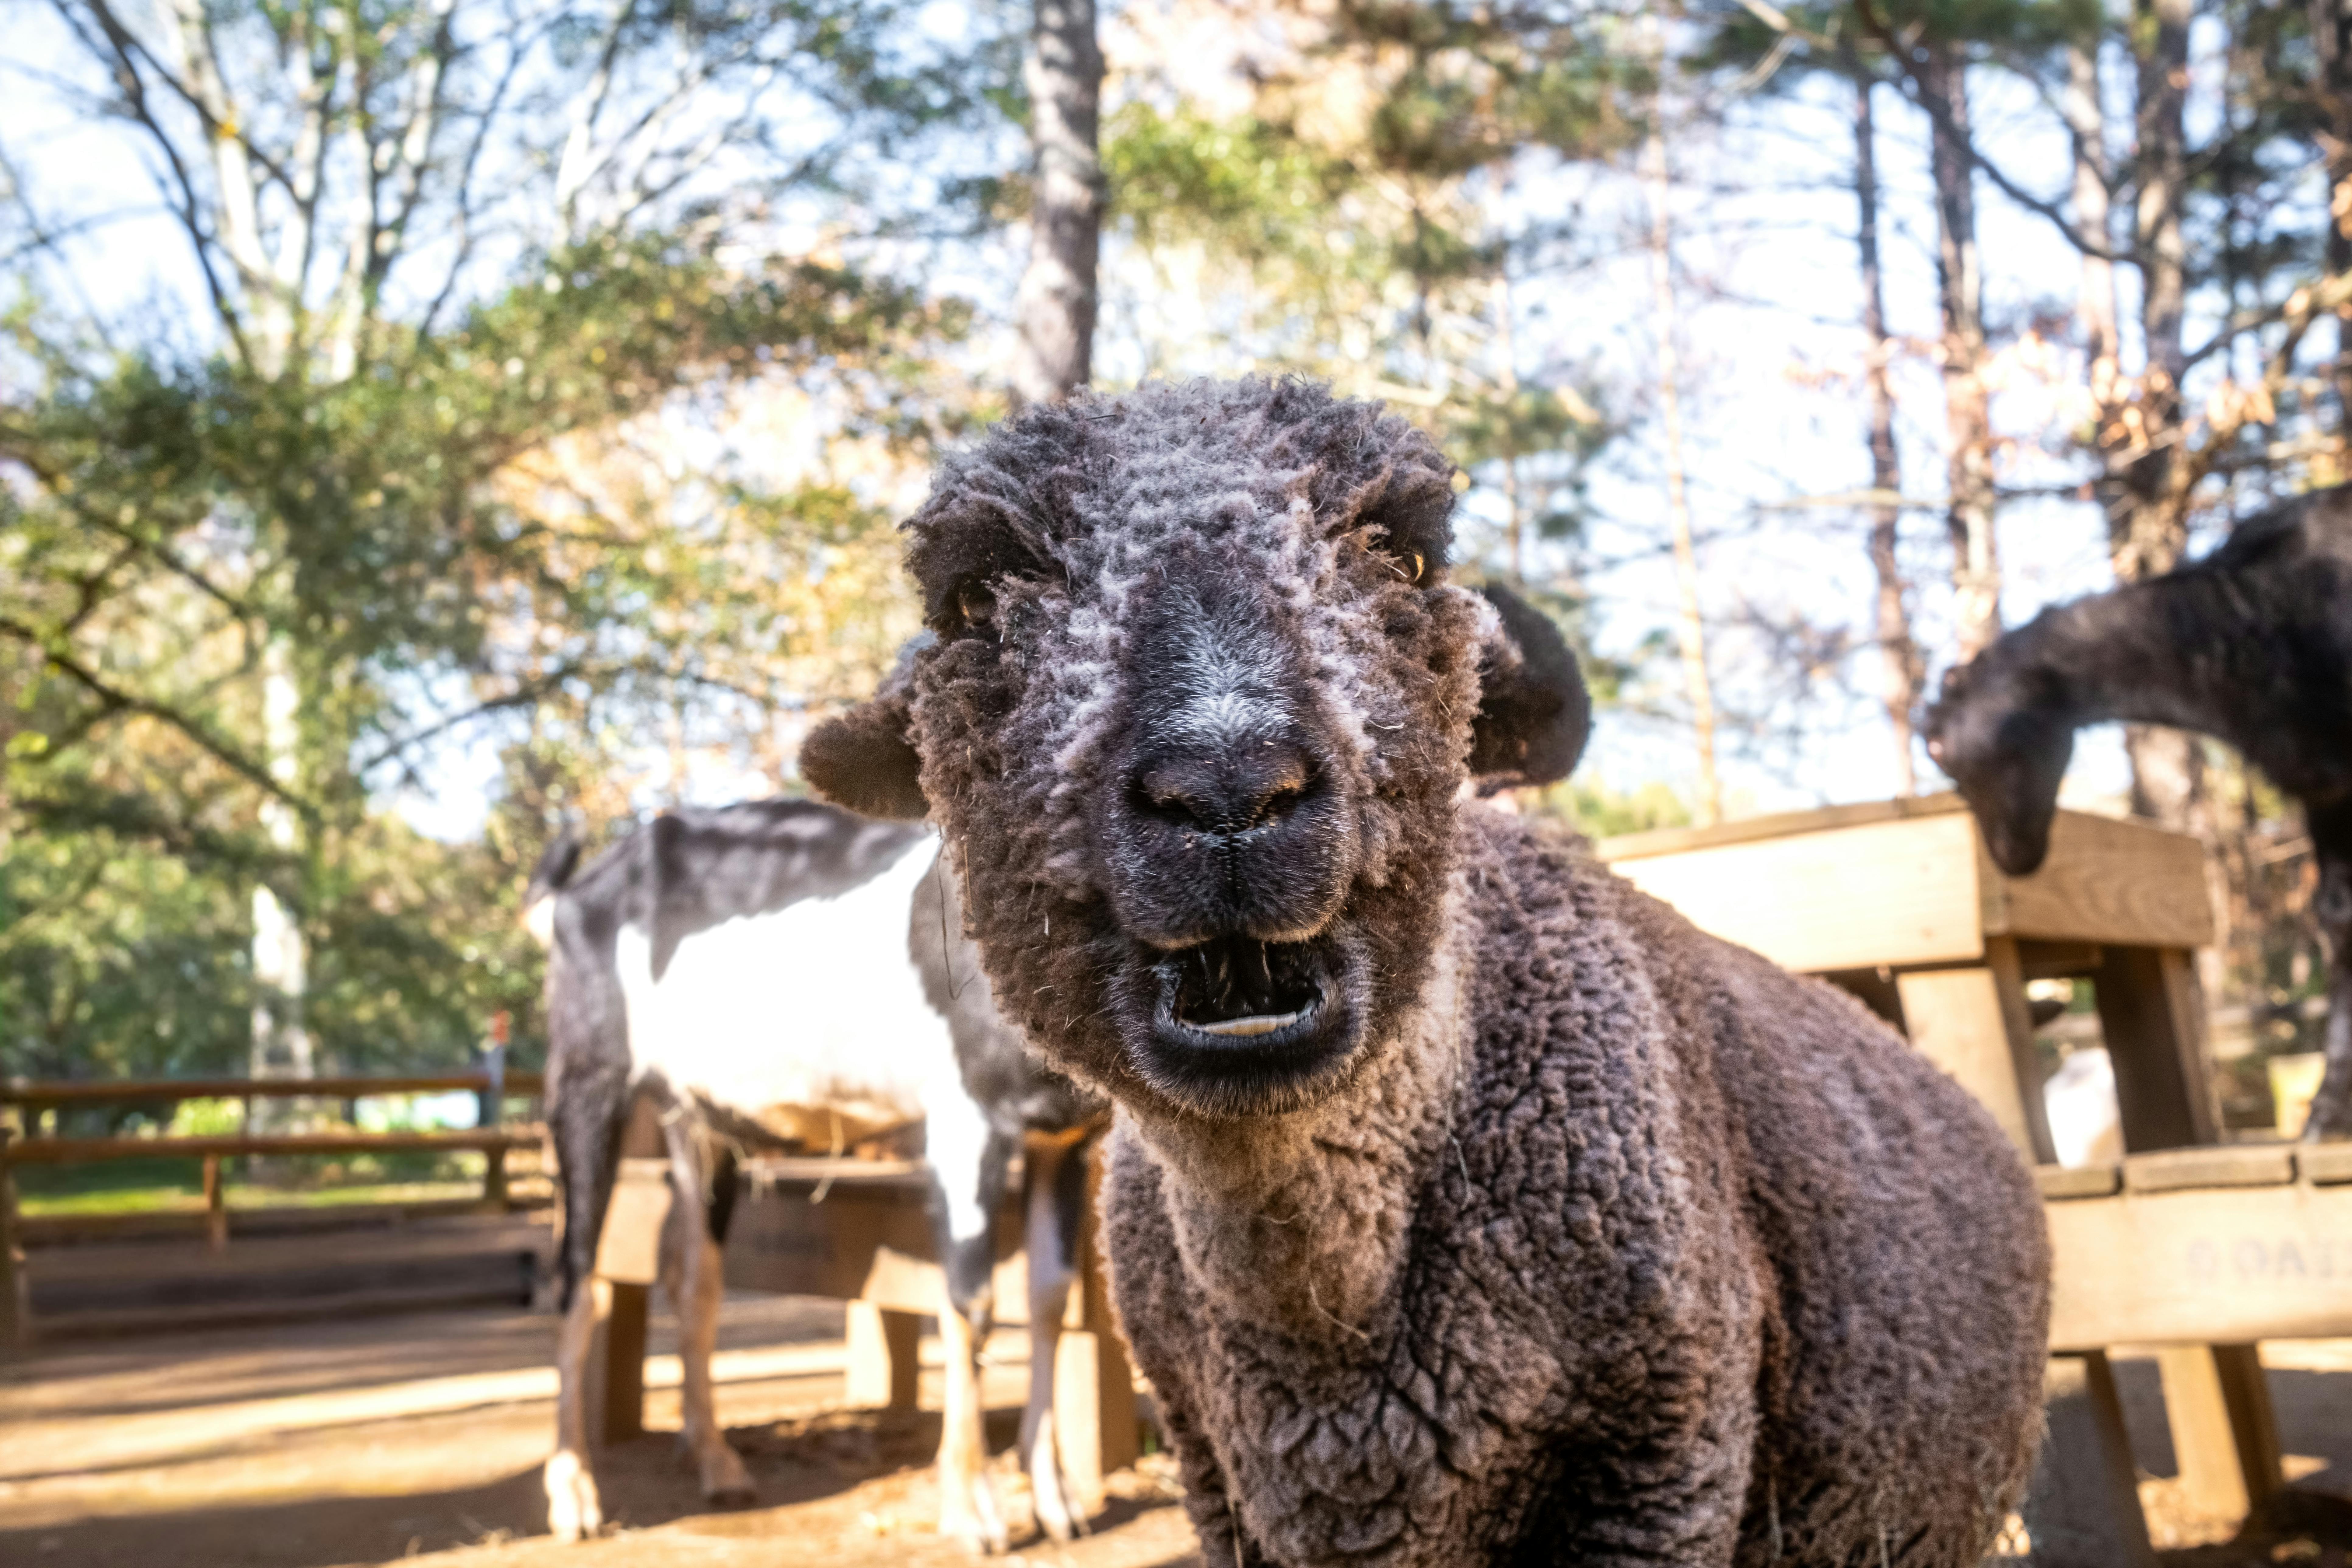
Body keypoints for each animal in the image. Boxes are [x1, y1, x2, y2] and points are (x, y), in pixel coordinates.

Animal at [522, 798, 1103, 1552]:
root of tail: (576, 892)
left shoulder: (1065, 1137)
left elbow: (1048, 1297)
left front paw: (1058, 1499)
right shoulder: (965, 1110)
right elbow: (970, 1302)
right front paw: (973, 1510)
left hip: (698, 1116)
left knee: (694, 1279)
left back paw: (717, 1461)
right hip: (586, 1074)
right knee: (576, 1278)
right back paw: (573, 1494)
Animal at [802, 376, 2052, 1566]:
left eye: (1400, 553)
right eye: (974, 600)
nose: (1226, 788)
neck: (1325, 1314)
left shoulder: (1661, 1455)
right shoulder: (1216, 1481)